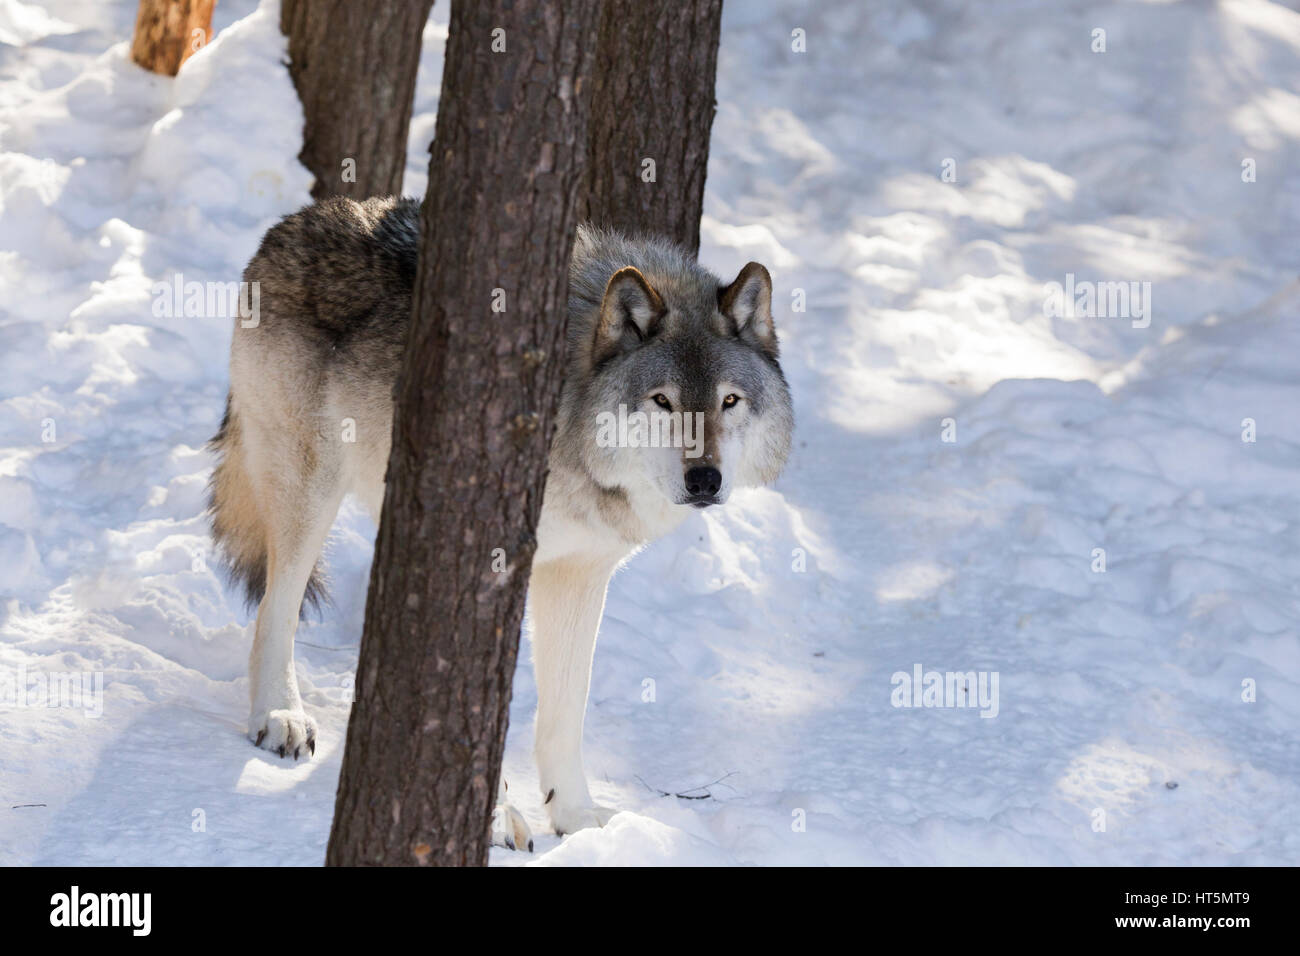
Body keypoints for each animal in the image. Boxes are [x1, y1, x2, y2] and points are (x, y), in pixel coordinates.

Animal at [208, 196, 793, 849]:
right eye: (663, 401)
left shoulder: (578, 572)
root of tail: (297, 219)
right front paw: (490, 818)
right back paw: (280, 717)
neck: (572, 422)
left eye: (729, 401)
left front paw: (577, 822)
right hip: (311, 490)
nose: (704, 481)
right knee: (275, 608)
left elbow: (565, 710)